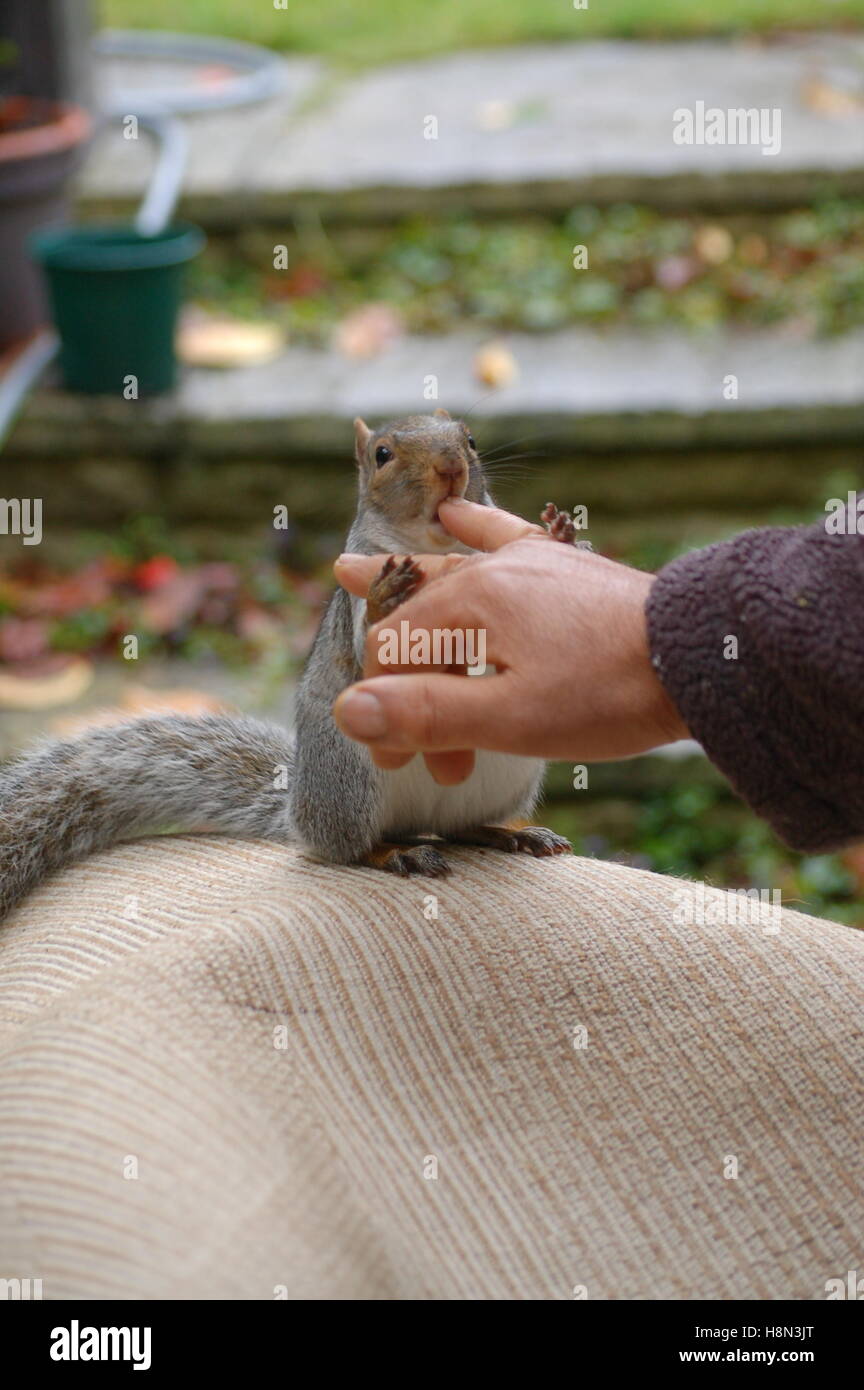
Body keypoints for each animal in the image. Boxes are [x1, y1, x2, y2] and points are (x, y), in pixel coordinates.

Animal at [0, 410, 585, 921]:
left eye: (470, 440)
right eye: (382, 455)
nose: (449, 467)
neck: (437, 550)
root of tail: (299, 808)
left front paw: (559, 540)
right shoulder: (354, 607)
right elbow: (373, 647)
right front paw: (387, 595)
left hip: (509, 771)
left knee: (460, 828)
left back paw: (511, 833)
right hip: (350, 777)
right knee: (346, 849)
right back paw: (395, 852)